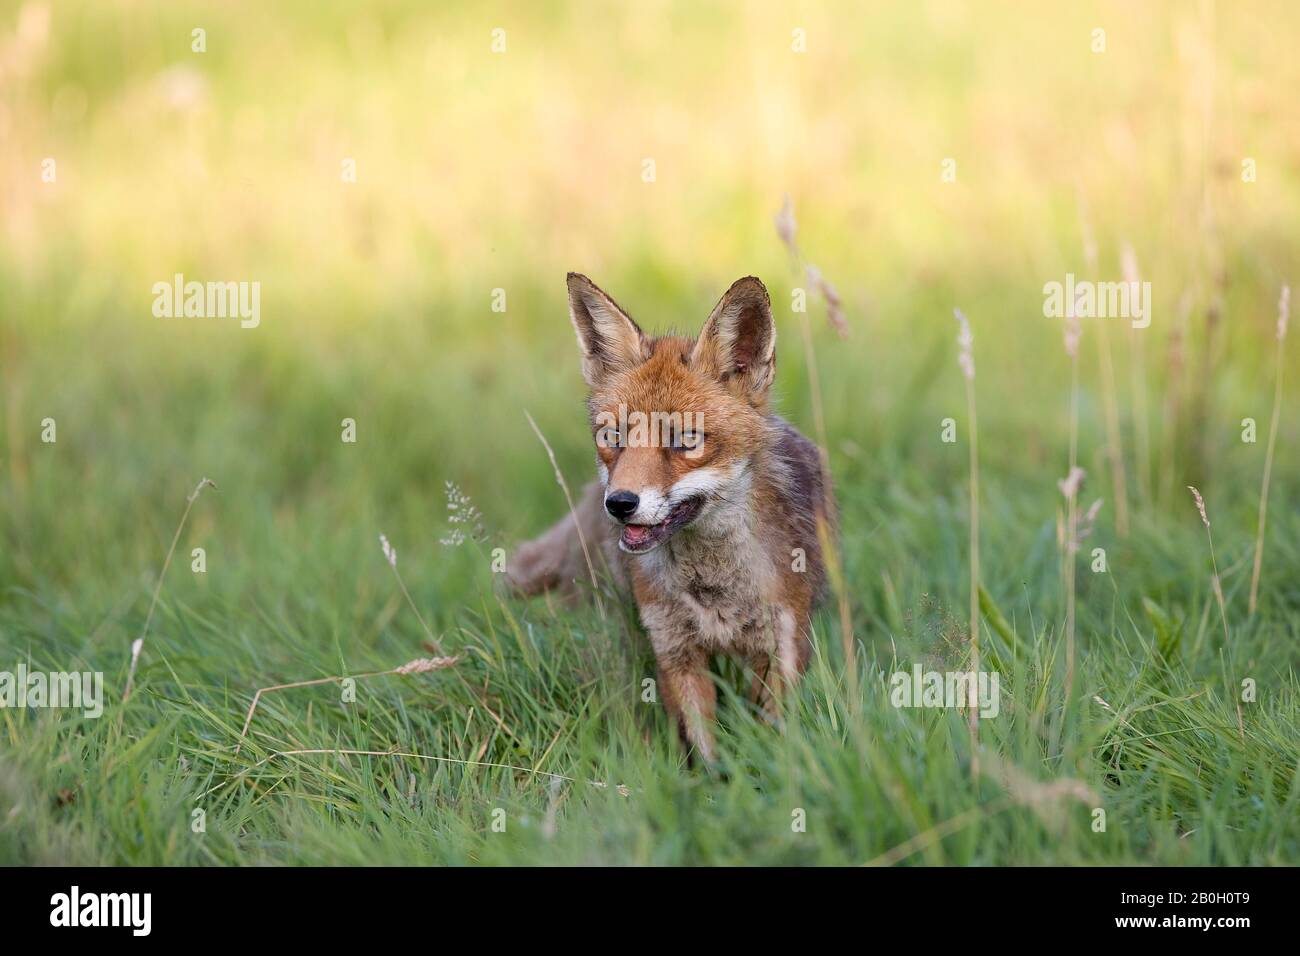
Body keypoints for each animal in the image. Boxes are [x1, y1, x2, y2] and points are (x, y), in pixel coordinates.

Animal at [507, 273, 832, 763]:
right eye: (612, 437)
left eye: (686, 440)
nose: (619, 503)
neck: (714, 587)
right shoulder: (675, 652)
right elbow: (702, 749)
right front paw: (714, 779)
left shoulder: (782, 645)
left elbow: (777, 738)